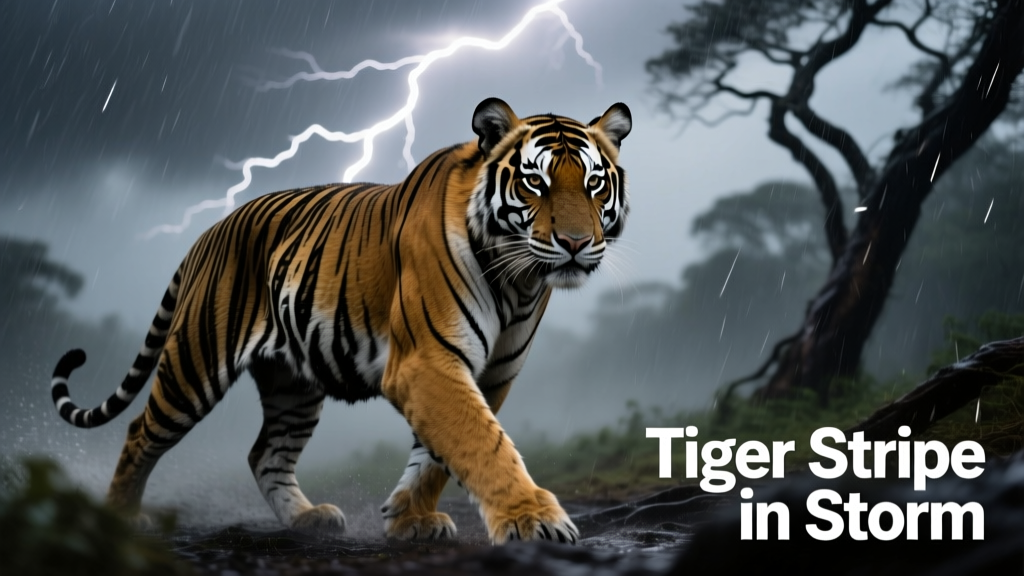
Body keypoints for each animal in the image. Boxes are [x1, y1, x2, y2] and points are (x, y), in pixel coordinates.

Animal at [49, 97, 631, 544]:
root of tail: (210, 230)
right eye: (535, 183)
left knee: (265, 453)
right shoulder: (429, 362)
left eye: (595, 185)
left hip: (292, 385)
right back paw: (120, 519)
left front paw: (408, 518)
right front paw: (534, 521)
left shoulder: (491, 374)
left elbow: (440, 455)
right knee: (139, 432)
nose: (575, 244)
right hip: (195, 362)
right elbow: (482, 443)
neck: (519, 281)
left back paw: (309, 518)